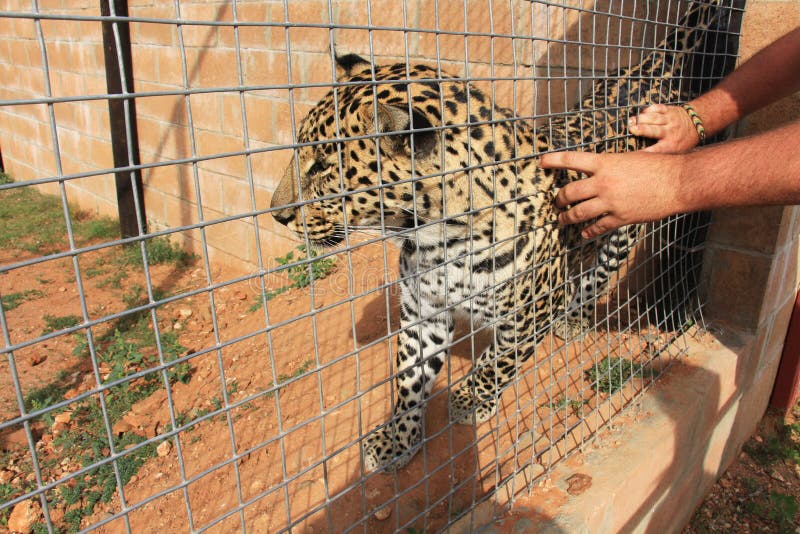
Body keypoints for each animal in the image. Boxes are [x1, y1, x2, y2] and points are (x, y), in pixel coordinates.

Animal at [269, 0, 726, 472]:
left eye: (322, 166)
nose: (276, 215)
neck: (435, 236)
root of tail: (640, 71)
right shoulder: (424, 310)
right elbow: (409, 377)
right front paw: (397, 438)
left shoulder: (530, 311)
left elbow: (501, 360)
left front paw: (471, 399)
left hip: (625, 229)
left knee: (593, 277)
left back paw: (574, 316)